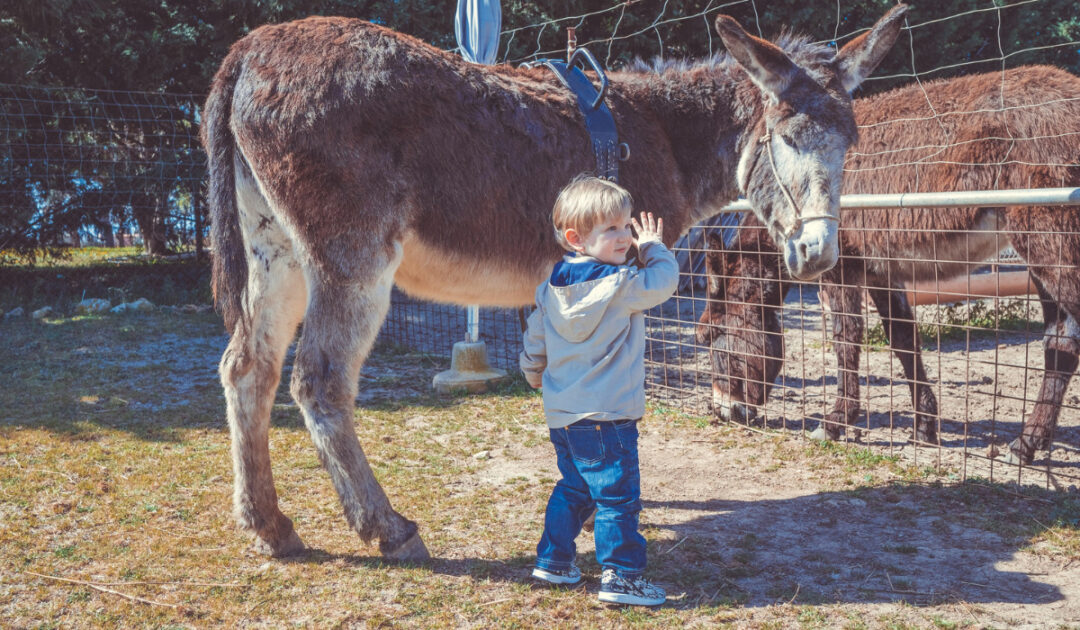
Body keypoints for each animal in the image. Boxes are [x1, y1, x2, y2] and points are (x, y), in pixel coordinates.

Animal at [201, 7, 907, 560]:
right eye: (787, 138)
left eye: (849, 143)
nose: (818, 255)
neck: (666, 134)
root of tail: (250, 49)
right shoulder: (624, 278)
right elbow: (612, 388)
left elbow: (551, 379)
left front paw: (581, 486)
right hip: (351, 257)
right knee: (318, 380)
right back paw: (388, 530)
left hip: (277, 250)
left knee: (247, 369)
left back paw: (268, 526)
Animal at [696, 65, 1080, 466]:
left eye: (708, 337)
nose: (721, 411)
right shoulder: (880, 271)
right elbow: (903, 338)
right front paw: (925, 426)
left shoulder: (841, 266)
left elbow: (846, 337)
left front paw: (835, 422)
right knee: (1060, 341)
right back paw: (1027, 443)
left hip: (1047, 237)